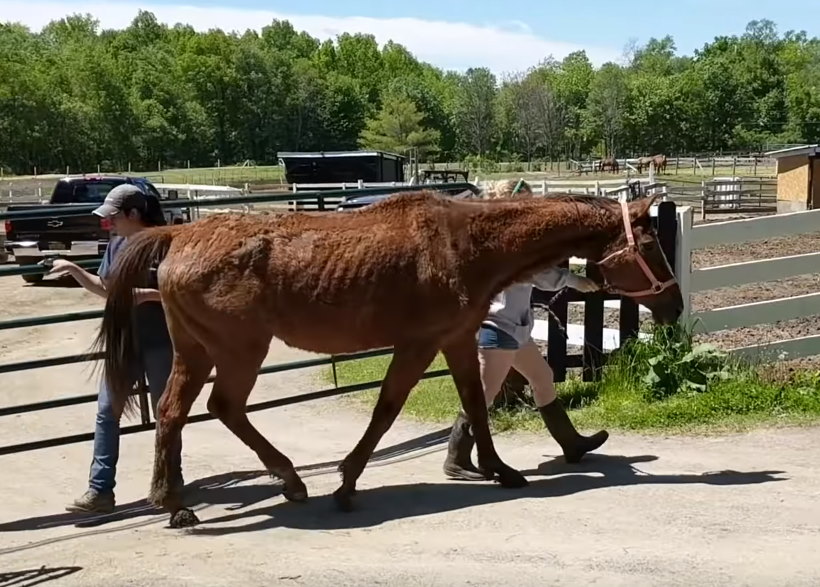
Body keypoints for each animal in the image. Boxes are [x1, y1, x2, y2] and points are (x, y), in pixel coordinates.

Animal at [92, 189, 683, 528]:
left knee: (186, 412)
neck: (466, 243)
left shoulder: (456, 339)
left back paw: (224, 493)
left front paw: (500, 470)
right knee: (212, 409)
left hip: (198, 351)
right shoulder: (419, 343)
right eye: (652, 245)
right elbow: (387, 410)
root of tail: (180, 231)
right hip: (238, 352)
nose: (675, 305)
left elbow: (475, 406)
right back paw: (214, 497)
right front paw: (347, 483)